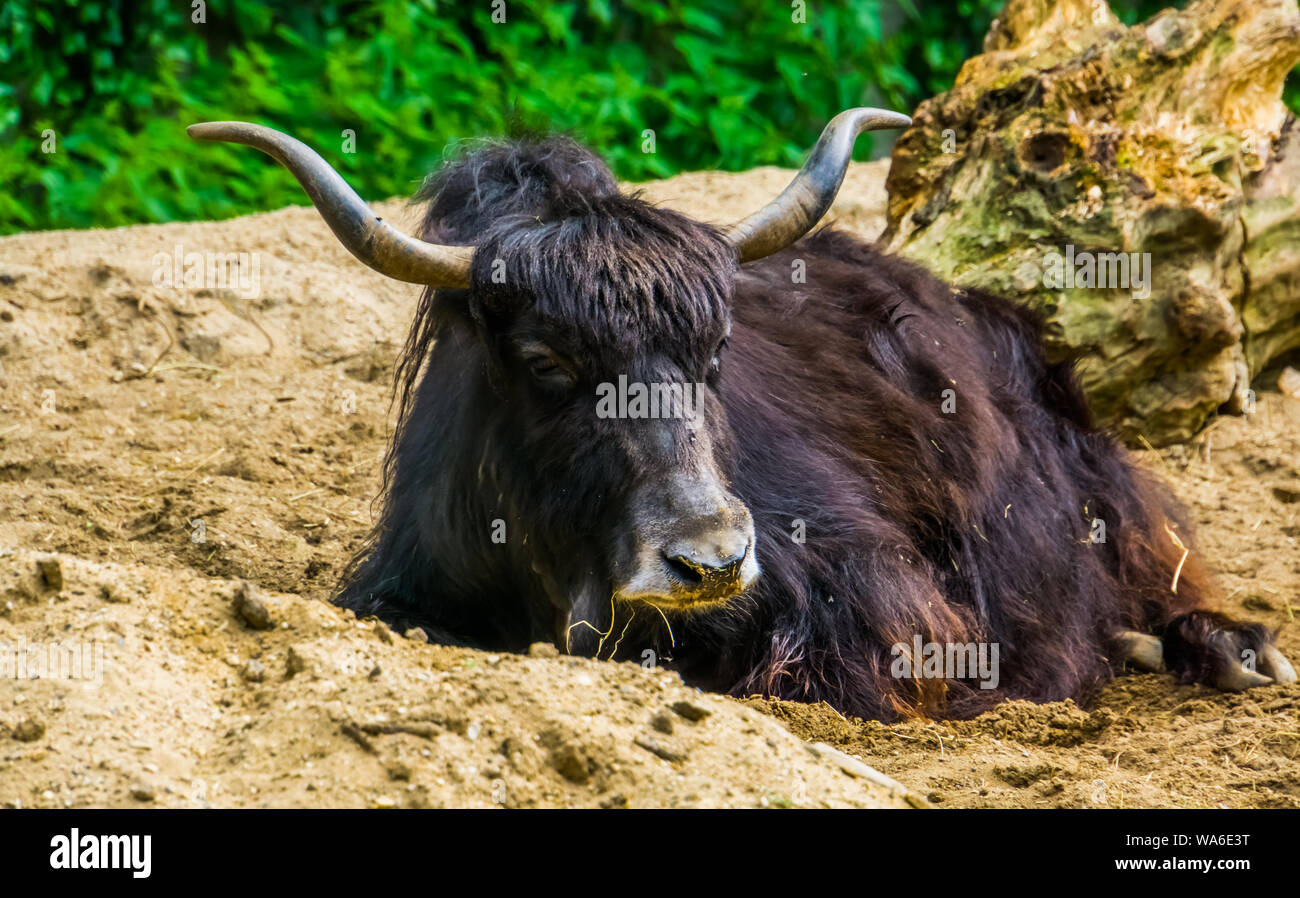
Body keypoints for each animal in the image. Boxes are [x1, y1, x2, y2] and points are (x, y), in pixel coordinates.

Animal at [190, 109, 1295, 721]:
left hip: (1090, 492)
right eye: (547, 363)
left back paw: (1235, 652)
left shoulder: (877, 592)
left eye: (713, 355)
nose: (709, 563)